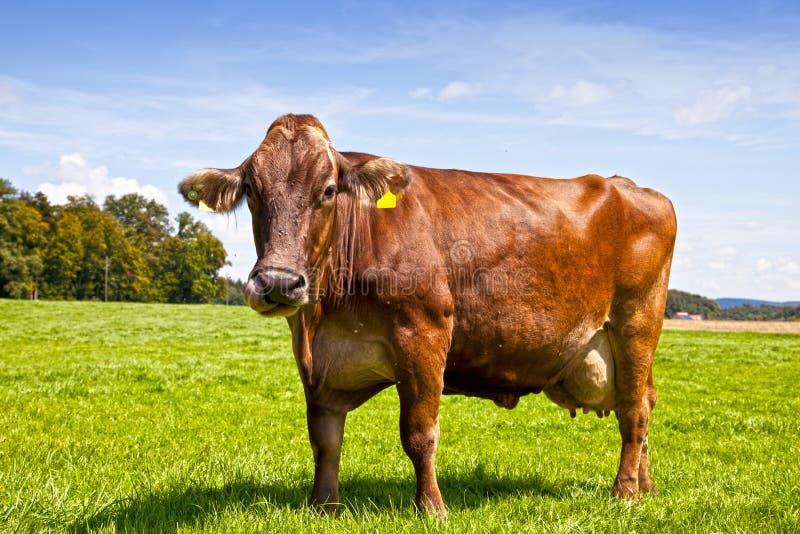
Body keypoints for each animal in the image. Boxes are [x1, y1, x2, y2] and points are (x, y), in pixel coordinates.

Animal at [179, 113, 676, 517]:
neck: (325, 314)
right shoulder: (318, 362)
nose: (279, 282)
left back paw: (625, 494)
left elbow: (419, 434)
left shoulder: (424, 333)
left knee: (633, 410)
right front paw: (322, 507)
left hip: (636, 324)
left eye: (328, 191)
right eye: (252, 192)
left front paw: (432, 508)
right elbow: (324, 438)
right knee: (647, 402)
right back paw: (648, 488)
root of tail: (630, 186)